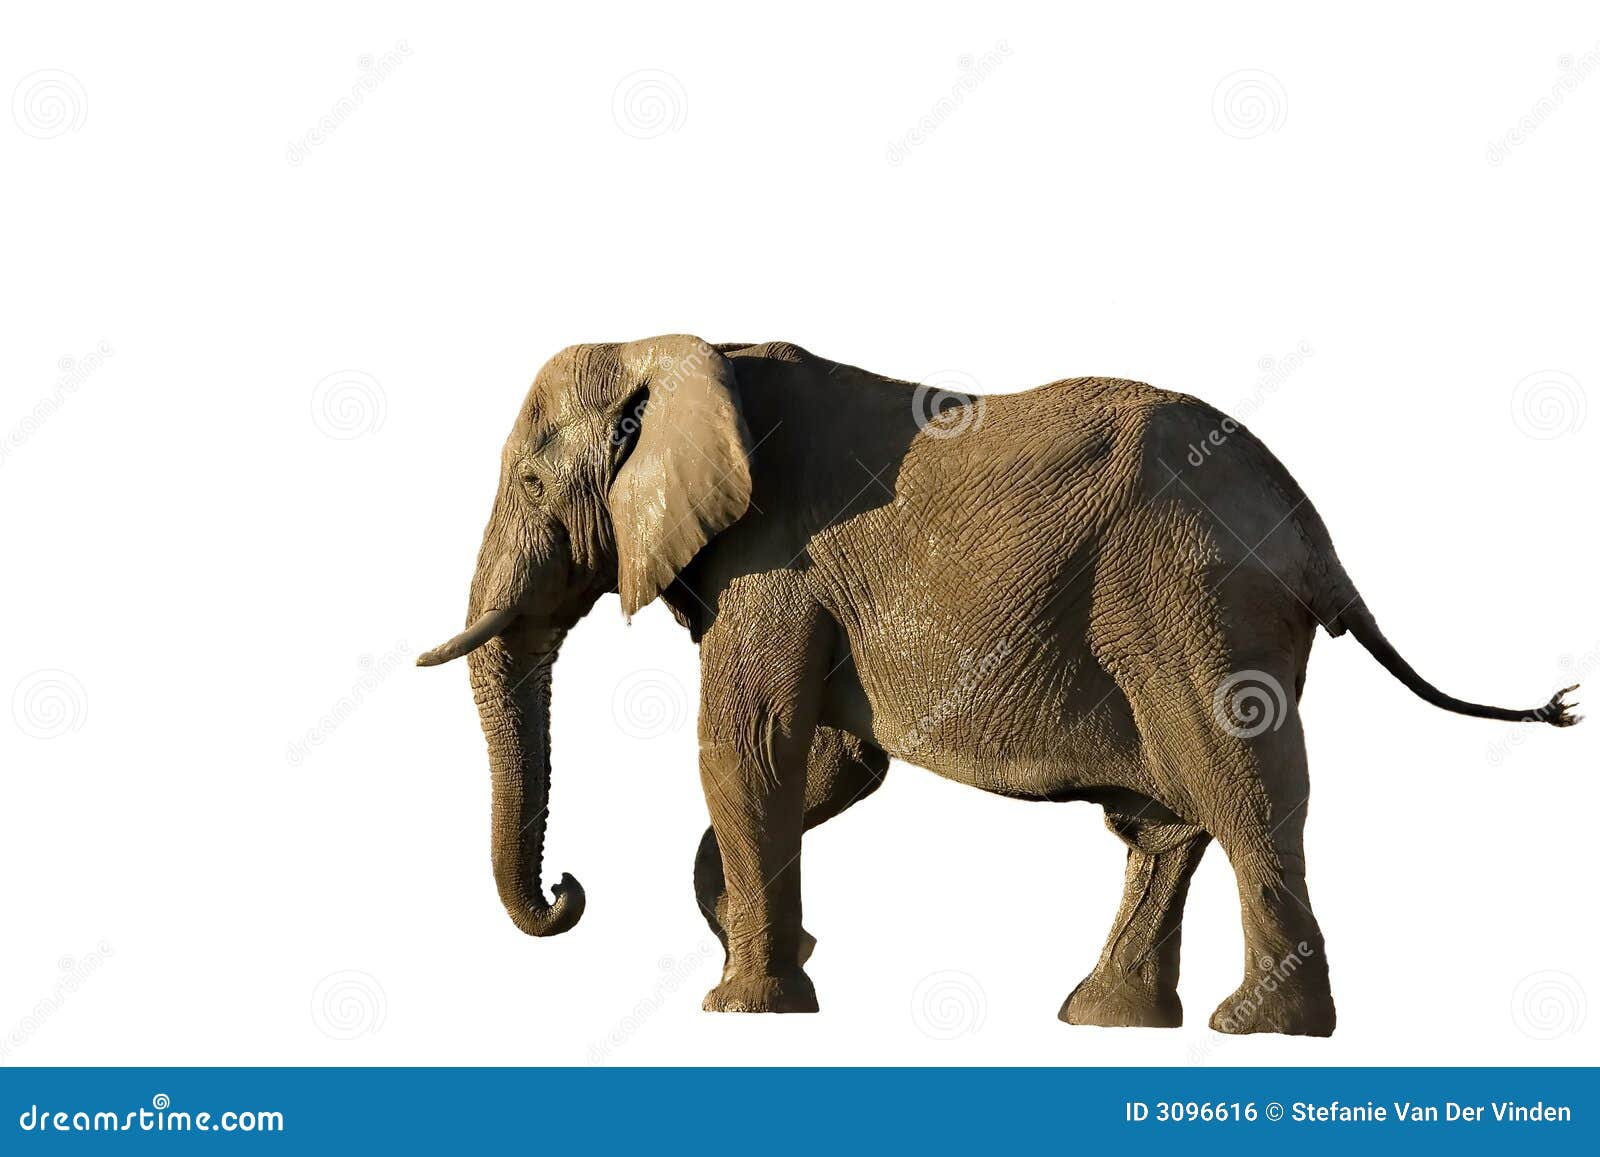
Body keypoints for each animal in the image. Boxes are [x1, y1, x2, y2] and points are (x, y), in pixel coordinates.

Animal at [418, 335, 1579, 1036]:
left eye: (533, 481)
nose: (568, 892)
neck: (688, 347)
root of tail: (1311, 527)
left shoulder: (774, 562)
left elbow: (746, 749)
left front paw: (744, 1006)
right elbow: (833, 763)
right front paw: (773, 959)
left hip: (1194, 594)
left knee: (1243, 790)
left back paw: (1257, 1029)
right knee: (1168, 816)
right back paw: (1107, 1021)